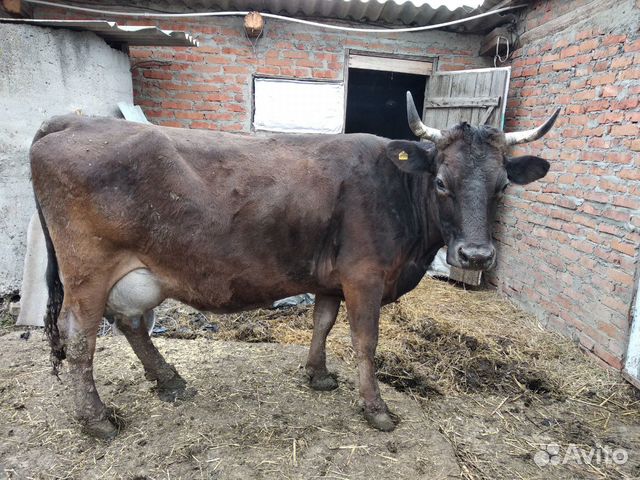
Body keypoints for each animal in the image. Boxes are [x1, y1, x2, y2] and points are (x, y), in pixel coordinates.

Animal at [30, 92, 559, 438]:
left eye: (502, 186)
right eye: (443, 182)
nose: (476, 256)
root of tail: (71, 122)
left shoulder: (331, 276)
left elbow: (322, 322)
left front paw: (317, 375)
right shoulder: (365, 276)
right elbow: (365, 342)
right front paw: (376, 409)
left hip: (136, 272)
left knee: (132, 324)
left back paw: (170, 381)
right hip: (87, 271)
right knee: (81, 338)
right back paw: (98, 420)